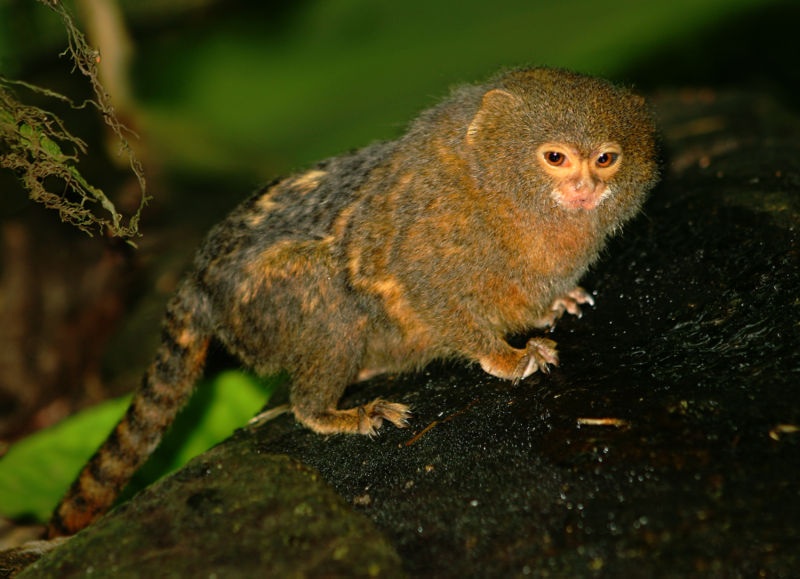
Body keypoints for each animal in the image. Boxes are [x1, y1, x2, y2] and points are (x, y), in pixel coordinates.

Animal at [47, 67, 659, 538]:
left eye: (606, 159)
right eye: (555, 157)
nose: (584, 189)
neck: (499, 192)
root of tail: (198, 282)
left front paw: (550, 305)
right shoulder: (435, 236)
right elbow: (430, 291)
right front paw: (506, 356)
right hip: (267, 303)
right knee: (328, 306)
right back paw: (330, 410)